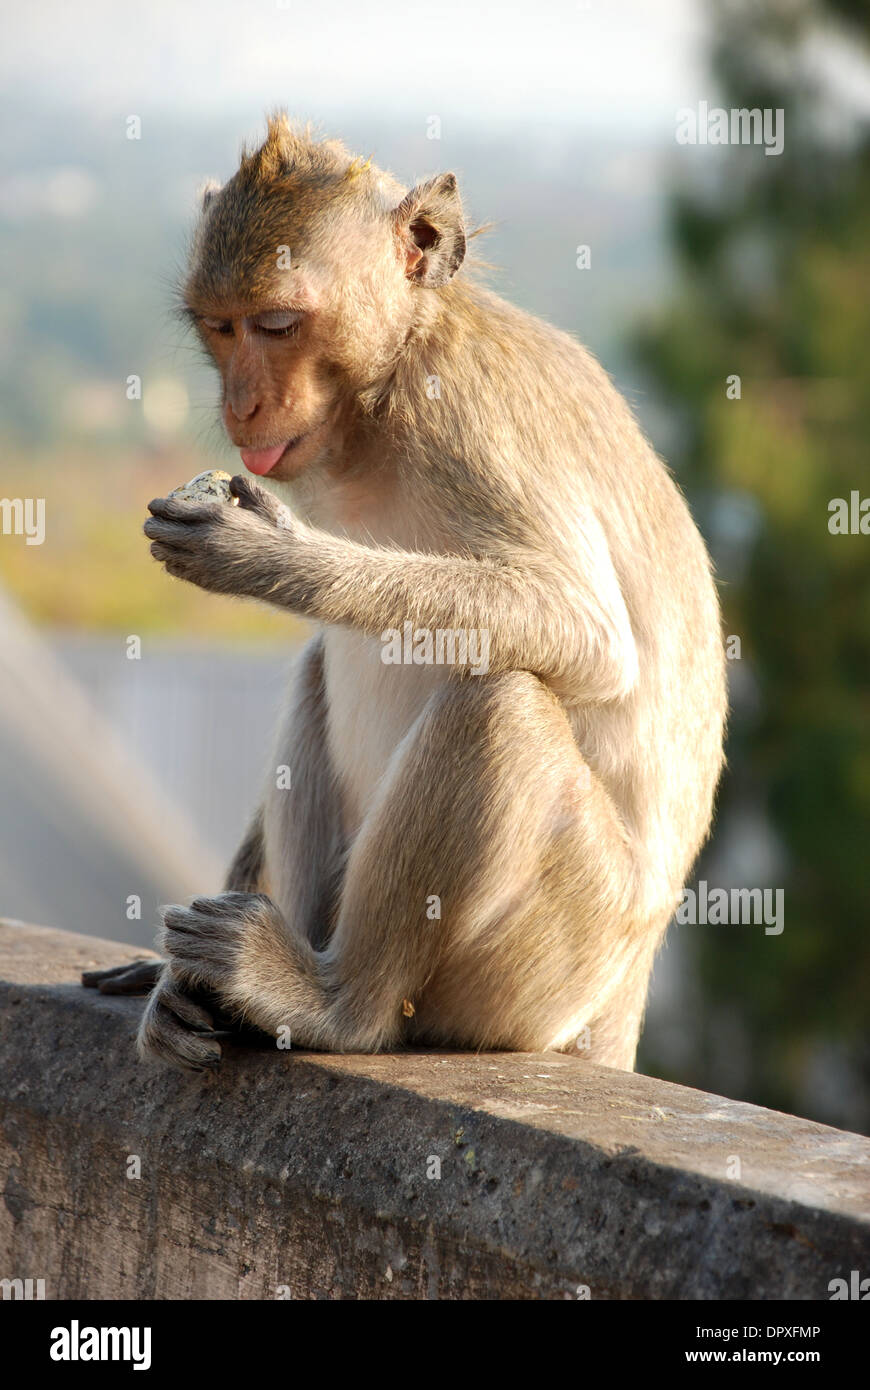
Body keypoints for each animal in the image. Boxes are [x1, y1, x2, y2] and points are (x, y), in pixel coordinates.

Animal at [83, 115, 726, 1074]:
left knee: (498, 702)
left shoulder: (468, 415)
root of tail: (627, 985)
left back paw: (337, 1003)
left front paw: (270, 558)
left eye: (277, 325)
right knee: (325, 669)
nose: (240, 405)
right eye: (220, 330)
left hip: (548, 962)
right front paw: (164, 976)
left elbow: (586, 631)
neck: (384, 394)